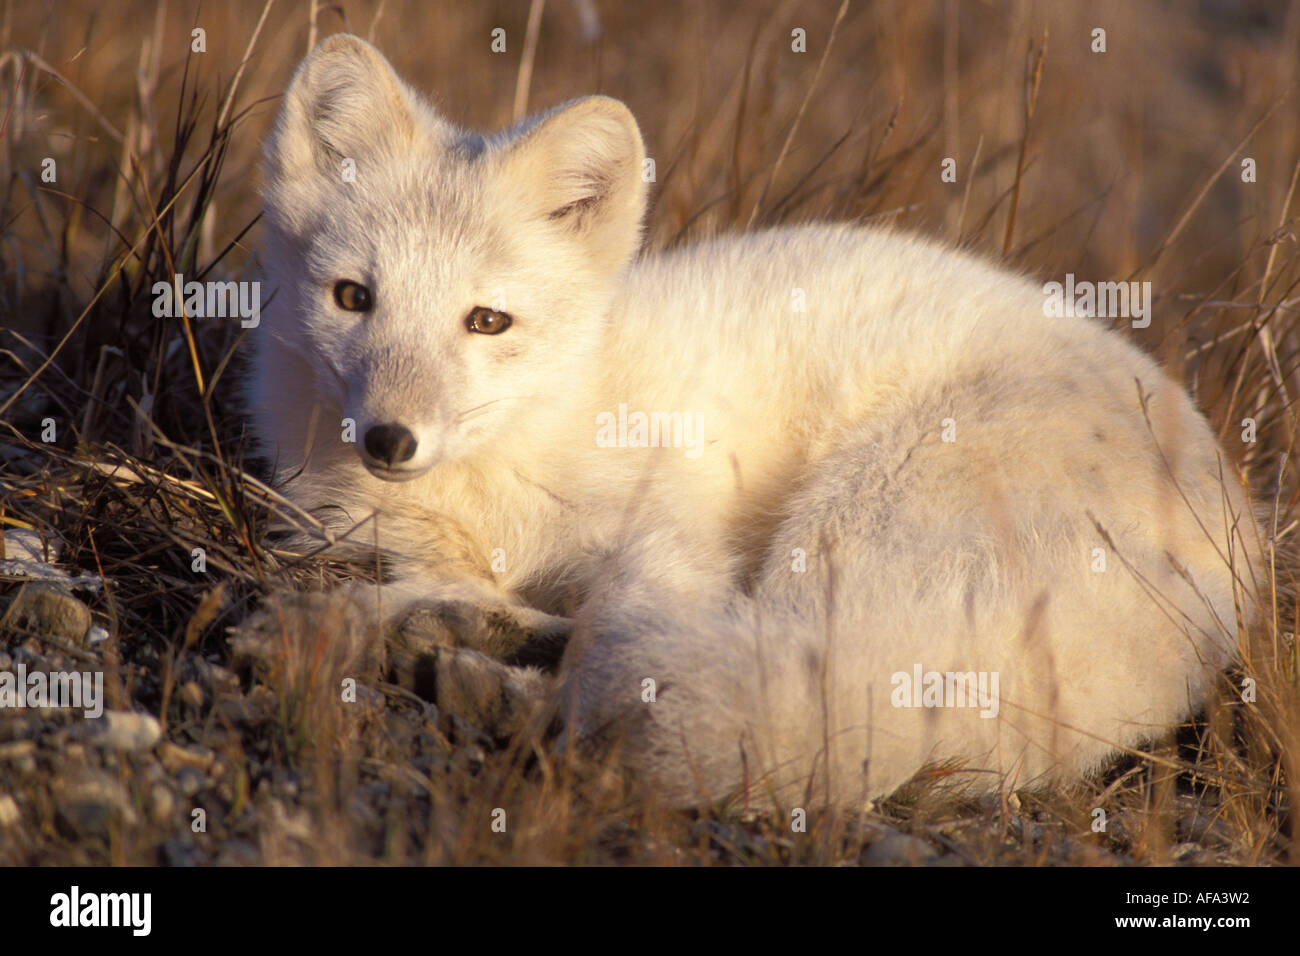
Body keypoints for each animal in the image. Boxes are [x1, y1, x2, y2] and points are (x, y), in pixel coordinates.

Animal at [250, 34, 1263, 808]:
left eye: (487, 321)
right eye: (353, 298)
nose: (391, 441)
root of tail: (1242, 549)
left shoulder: (671, 536)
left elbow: (616, 632)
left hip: (850, 521)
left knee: (707, 692)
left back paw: (468, 676)